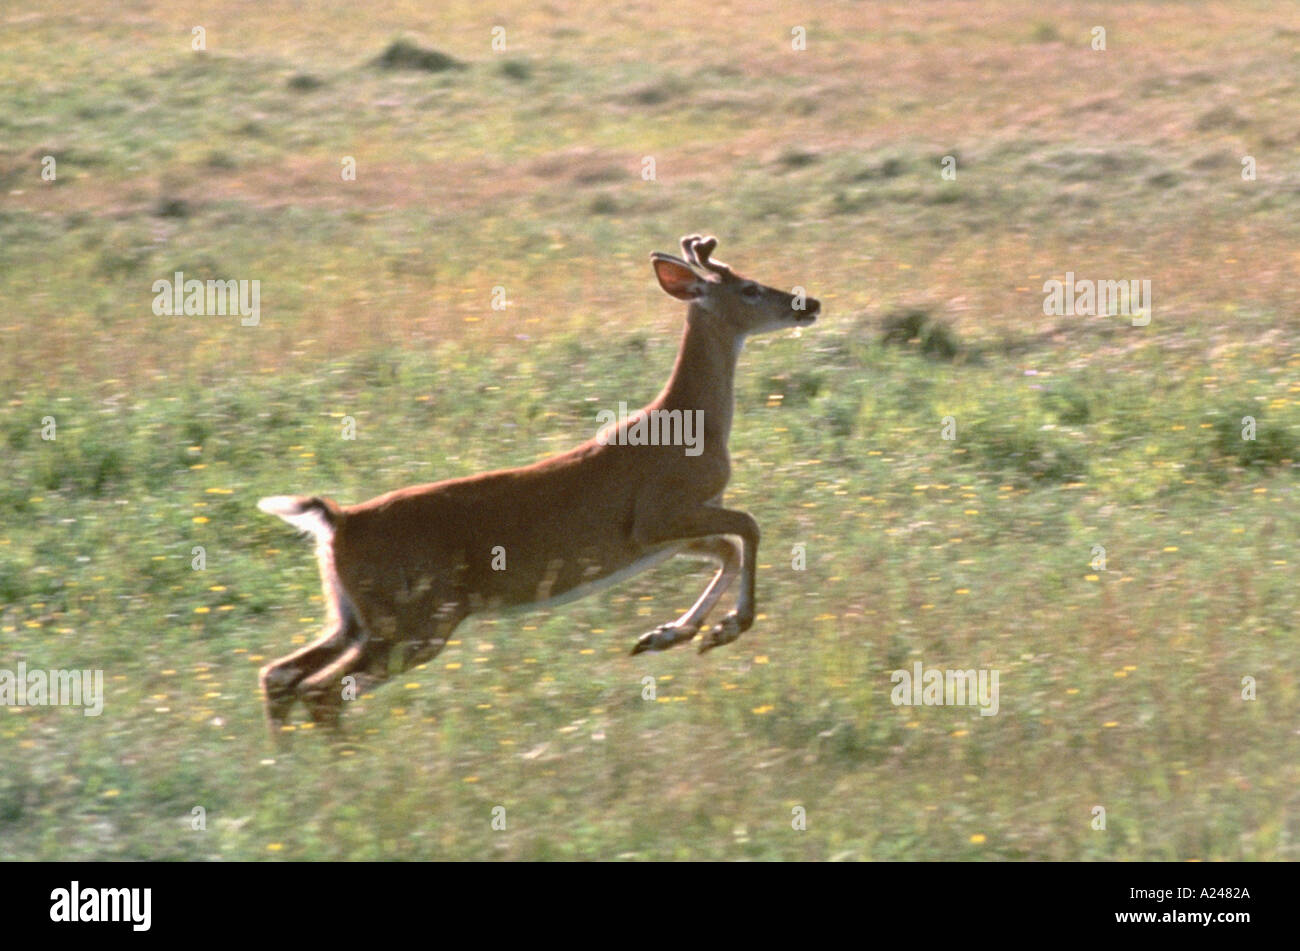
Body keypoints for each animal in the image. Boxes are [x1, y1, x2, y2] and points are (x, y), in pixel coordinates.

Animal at [257, 235, 819, 737]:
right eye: (748, 288)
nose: (810, 302)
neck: (689, 424)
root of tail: (338, 521)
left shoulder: (671, 533)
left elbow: (729, 547)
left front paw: (667, 635)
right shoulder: (657, 514)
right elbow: (748, 527)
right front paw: (724, 629)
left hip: (356, 615)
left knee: (279, 673)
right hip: (416, 617)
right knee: (320, 690)